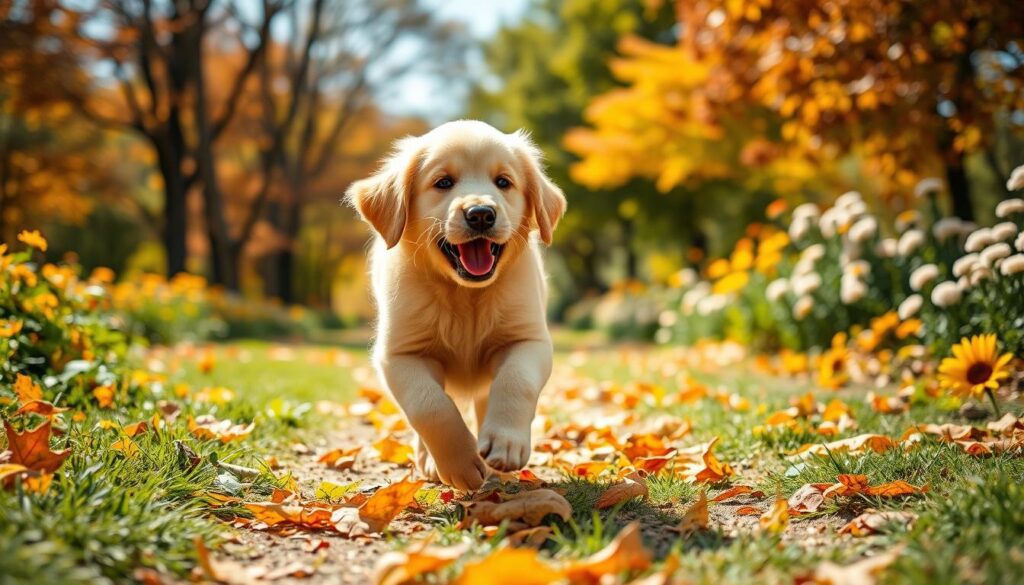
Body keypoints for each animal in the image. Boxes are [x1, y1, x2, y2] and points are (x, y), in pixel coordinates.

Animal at [346, 120, 569, 489]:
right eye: (443, 182)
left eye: (503, 182)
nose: (480, 214)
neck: (465, 295)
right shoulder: (400, 354)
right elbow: (429, 405)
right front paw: (460, 463)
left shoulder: (528, 340)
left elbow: (516, 380)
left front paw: (505, 444)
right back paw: (429, 460)